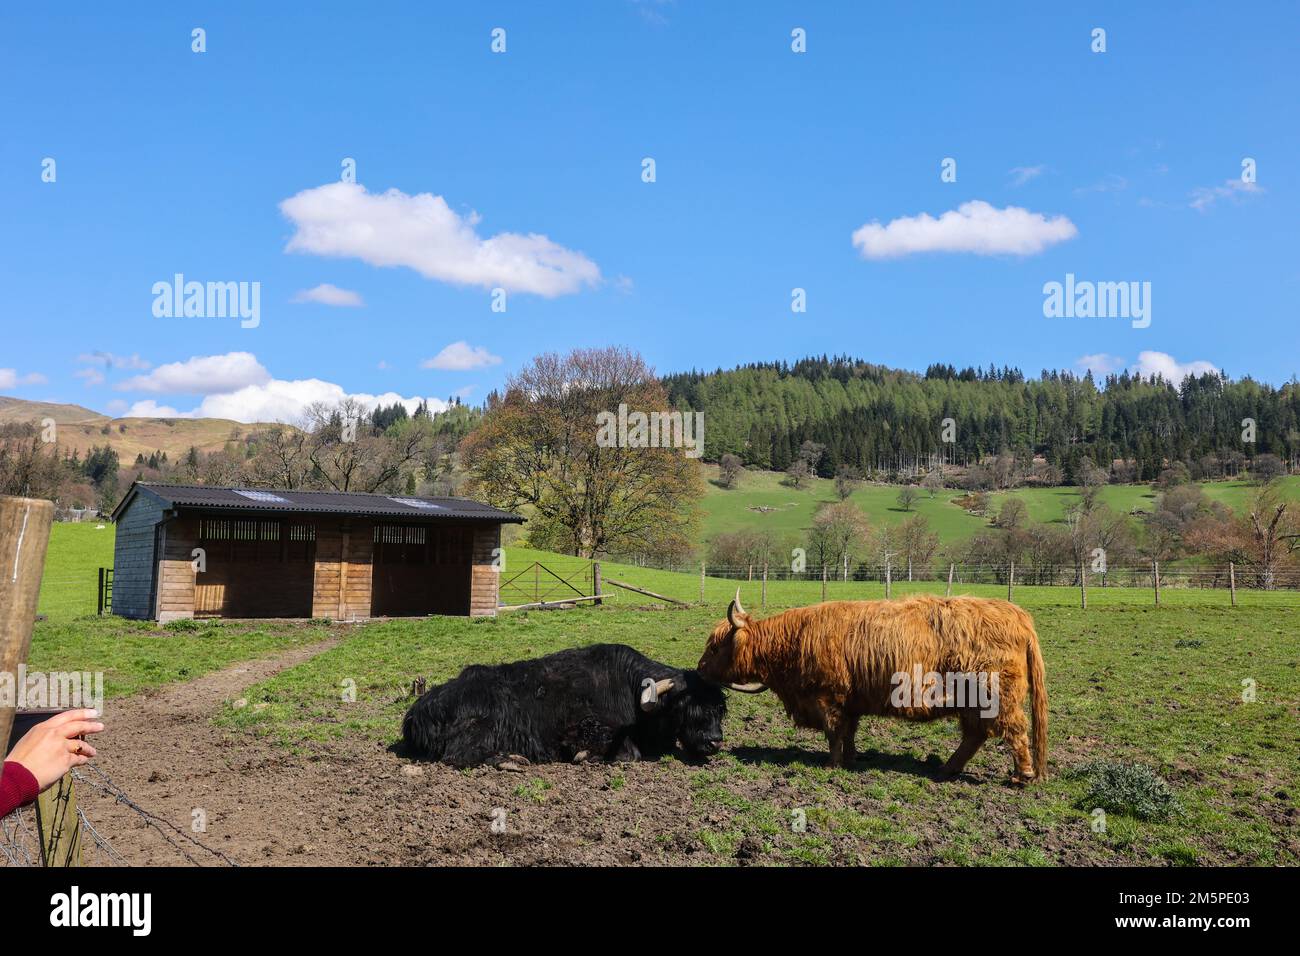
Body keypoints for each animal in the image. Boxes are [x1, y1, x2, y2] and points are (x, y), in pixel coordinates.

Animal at [401, 643, 727, 768]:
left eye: (719, 709)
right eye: (687, 707)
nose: (714, 741)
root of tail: (417, 711)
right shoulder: (584, 727)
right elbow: (627, 753)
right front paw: (585, 756)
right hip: (483, 727)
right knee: (458, 756)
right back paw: (512, 760)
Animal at [698, 592, 1048, 784]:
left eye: (714, 647)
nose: (698, 669)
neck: (794, 641)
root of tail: (1017, 615)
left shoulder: (828, 697)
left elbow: (834, 733)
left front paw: (832, 765)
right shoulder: (850, 702)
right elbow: (849, 732)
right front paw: (852, 758)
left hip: (996, 698)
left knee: (1015, 731)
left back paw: (1022, 775)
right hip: (972, 704)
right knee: (975, 736)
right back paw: (946, 770)